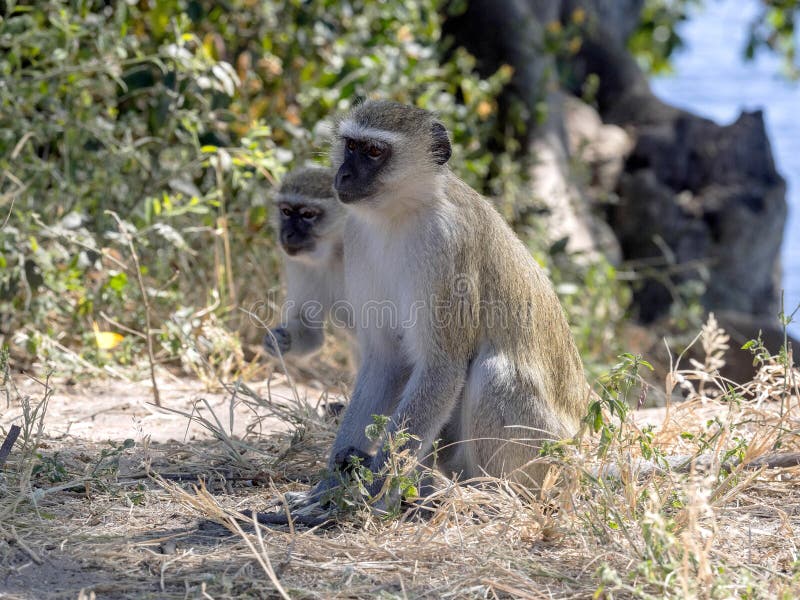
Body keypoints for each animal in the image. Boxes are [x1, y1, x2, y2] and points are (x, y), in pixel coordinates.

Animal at [262, 166, 354, 361]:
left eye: (307, 215)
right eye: (286, 211)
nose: (287, 234)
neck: (336, 251)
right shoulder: (301, 265)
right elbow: (311, 331)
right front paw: (279, 340)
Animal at [296, 100, 590, 510]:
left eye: (374, 152)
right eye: (351, 145)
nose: (344, 174)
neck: (401, 213)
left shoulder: (446, 243)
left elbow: (442, 367)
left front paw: (374, 489)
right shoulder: (356, 235)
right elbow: (387, 359)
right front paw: (329, 485)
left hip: (548, 456)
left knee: (494, 372)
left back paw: (487, 494)